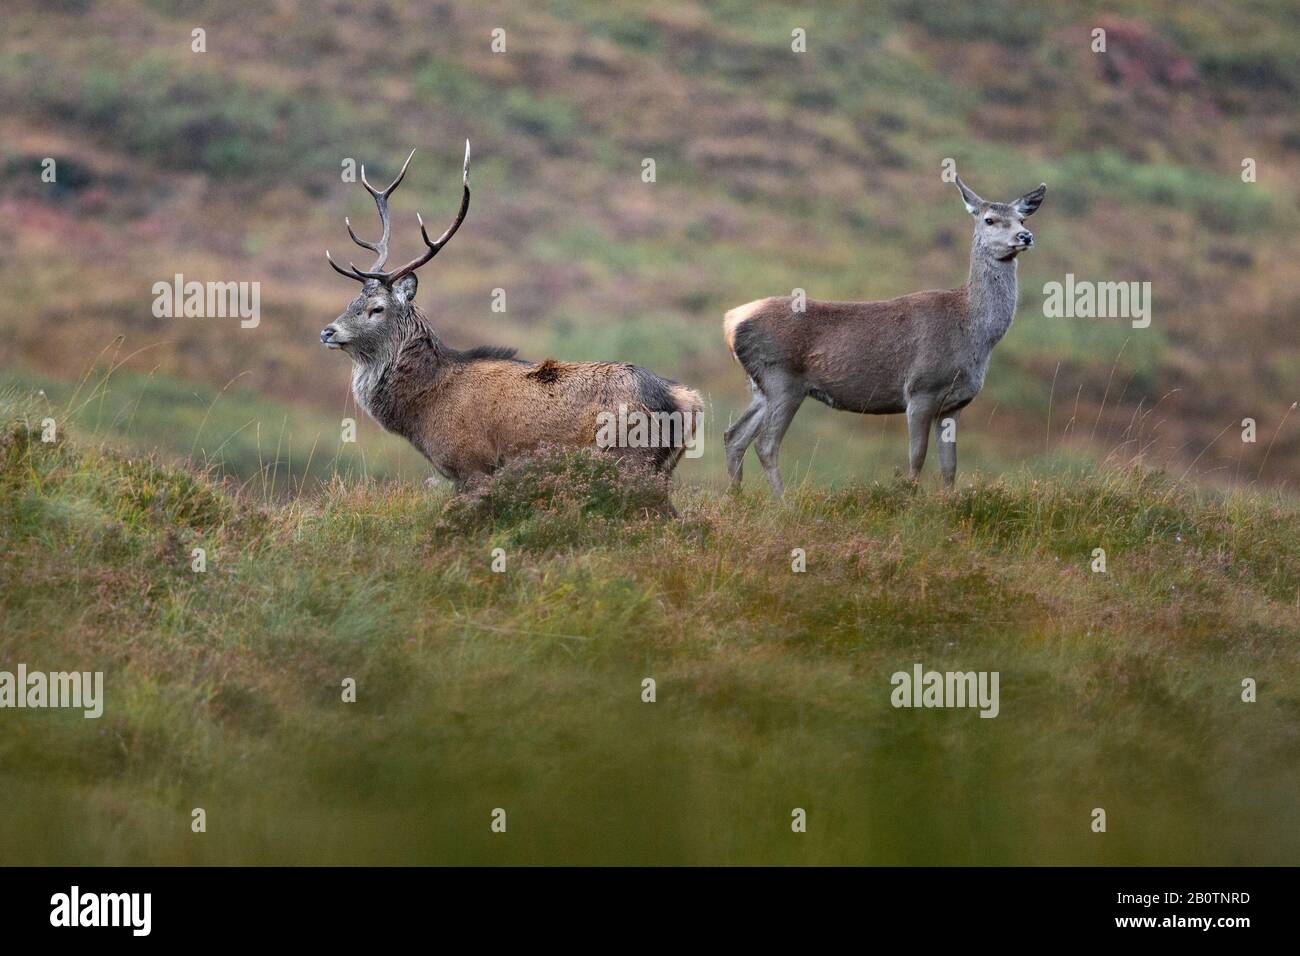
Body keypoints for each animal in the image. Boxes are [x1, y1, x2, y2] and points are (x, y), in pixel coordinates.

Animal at [321, 143, 702, 491]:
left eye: (376, 308)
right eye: (352, 301)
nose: (327, 331)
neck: (425, 407)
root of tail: (687, 400)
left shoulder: (471, 464)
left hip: (633, 460)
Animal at [722, 174, 1046, 495]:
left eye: (1021, 218)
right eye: (990, 219)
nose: (1025, 236)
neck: (973, 332)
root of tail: (731, 320)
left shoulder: (954, 404)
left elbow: (949, 469)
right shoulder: (920, 390)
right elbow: (916, 458)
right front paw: (907, 500)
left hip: (761, 386)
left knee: (734, 436)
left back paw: (737, 498)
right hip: (782, 379)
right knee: (765, 445)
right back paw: (784, 501)